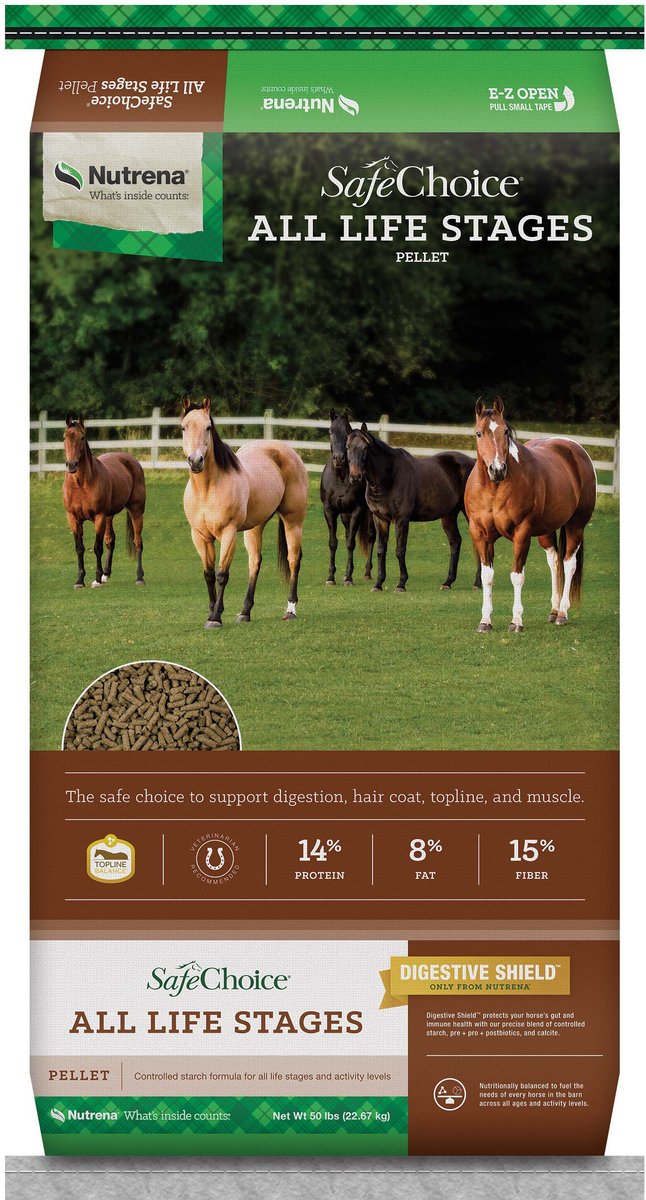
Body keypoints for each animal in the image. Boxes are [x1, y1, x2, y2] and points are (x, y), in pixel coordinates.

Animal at [63, 413, 146, 589]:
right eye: (65, 437)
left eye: (82, 437)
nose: (72, 465)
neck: (81, 484)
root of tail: (131, 460)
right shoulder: (73, 518)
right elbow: (79, 548)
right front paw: (80, 580)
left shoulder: (99, 516)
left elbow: (97, 547)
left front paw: (97, 579)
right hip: (109, 516)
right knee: (110, 541)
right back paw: (106, 574)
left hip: (136, 511)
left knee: (137, 541)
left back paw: (140, 577)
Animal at [181, 397, 308, 628]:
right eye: (183, 427)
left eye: (208, 427)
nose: (196, 461)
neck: (207, 489)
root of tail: (285, 449)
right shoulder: (200, 536)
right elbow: (208, 574)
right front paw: (212, 612)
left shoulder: (228, 533)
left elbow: (222, 574)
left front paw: (215, 618)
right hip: (255, 527)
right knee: (254, 562)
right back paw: (245, 612)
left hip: (293, 520)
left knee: (294, 559)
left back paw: (290, 610)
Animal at [320, 409, 376, 586]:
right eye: (330, 431)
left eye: (346, 433)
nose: (339, 458)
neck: (340, 478)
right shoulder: (329, 510)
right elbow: (333, 543)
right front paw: (331, 577)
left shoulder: (358, 509)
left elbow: (351, 543)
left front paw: (349, 577)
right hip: (345, 515)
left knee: (371, 536)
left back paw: (367, 572)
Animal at [346, 424, 481, 593]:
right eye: (347, 447)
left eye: (365, 447)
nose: (355, 476)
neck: (388, 477)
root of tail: (472, 463)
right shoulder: (380, 519)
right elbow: (381, 550)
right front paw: (378, 584)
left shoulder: (401, 520)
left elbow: (400, 550)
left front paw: (401, 584)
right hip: (448, 516)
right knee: (455, 542)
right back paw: (448, 582)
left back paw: (477, 583)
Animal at [464, 396, 597, 633]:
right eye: (479, 433)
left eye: (505, 431)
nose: (497, 469)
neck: (494, 490)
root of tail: (574, 448)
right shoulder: (480, 534)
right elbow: (487, 577)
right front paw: (485, 621)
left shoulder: (522, 533)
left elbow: (517, 576)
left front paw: (516, 622)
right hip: (546, 531)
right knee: (555, 561)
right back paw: (553, 611)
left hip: (576, 525)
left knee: (568, 564)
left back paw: (562, 614)